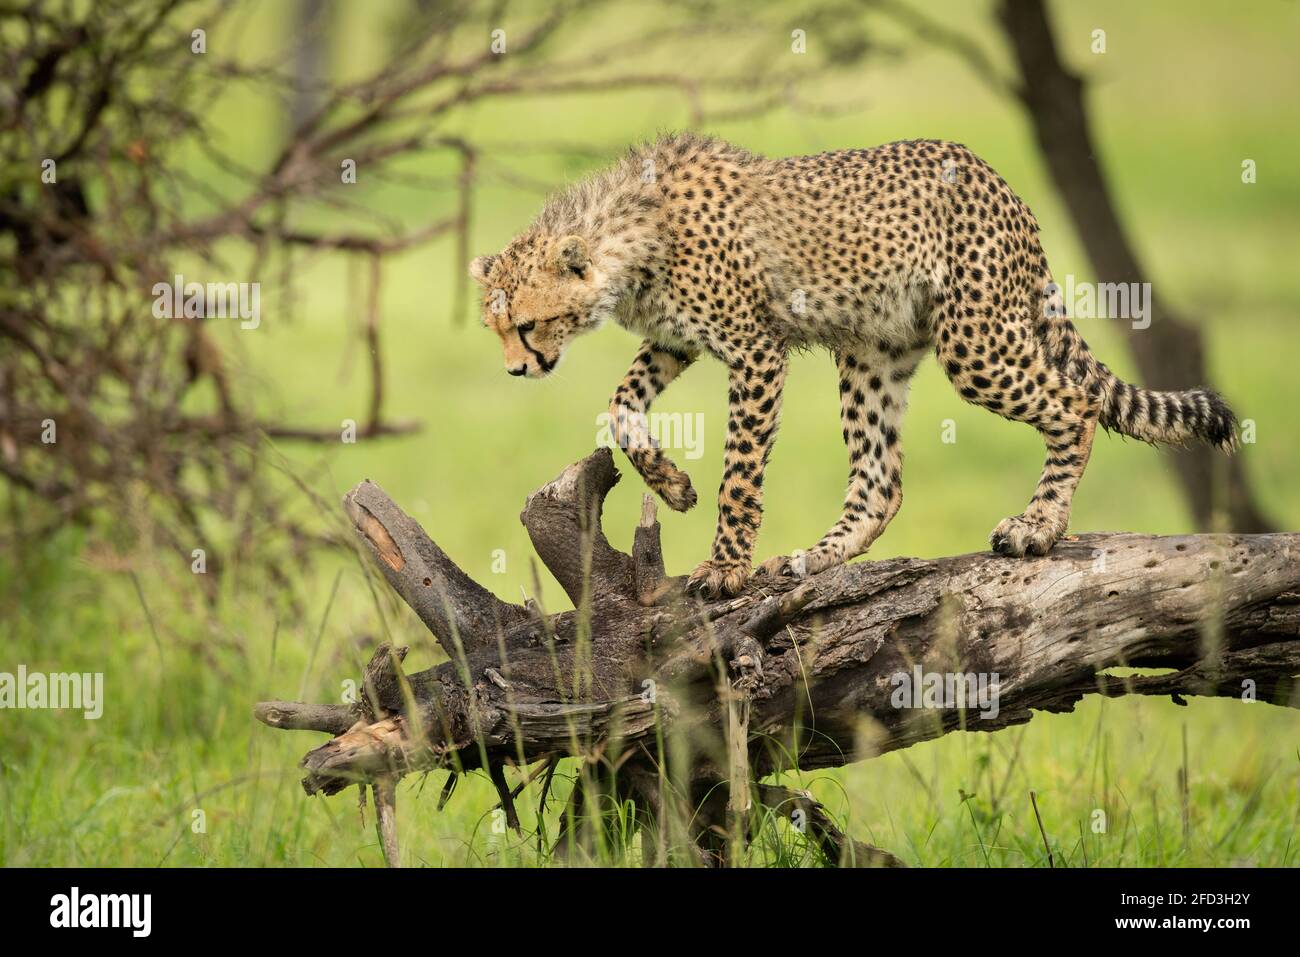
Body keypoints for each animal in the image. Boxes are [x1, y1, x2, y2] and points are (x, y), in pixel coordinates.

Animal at [471, 132, 1239, 598]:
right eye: (495, 328)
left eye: (527, 324)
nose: (513, 371)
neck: (631, 240)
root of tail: (1000, 182)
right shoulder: (675, 342)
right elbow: (620, 404)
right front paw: (670, 481)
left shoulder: (754, 350)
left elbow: (740, 473)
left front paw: (724, 566)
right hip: (873, 353)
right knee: (881, 481)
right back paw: (814, 556)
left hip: (975, 339)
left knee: (1076, 404)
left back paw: (1039, 525)